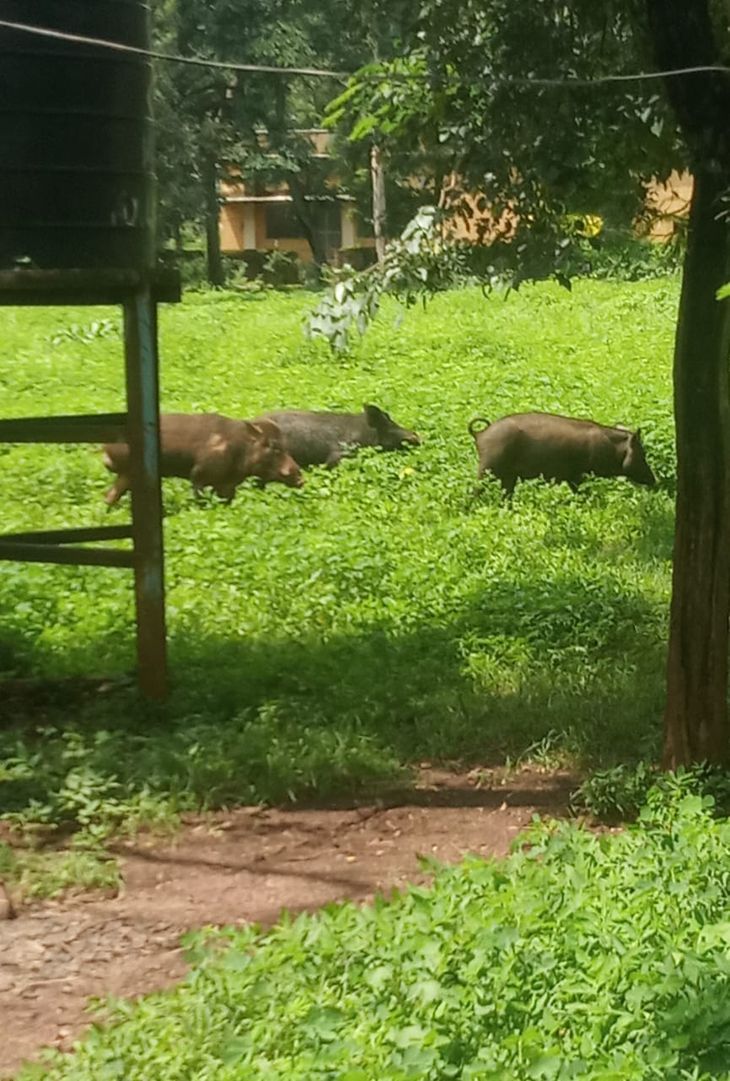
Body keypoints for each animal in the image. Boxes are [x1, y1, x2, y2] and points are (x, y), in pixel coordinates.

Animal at [102, 413, 303, 505]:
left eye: (285, 445)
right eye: (273, 446)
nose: (300, 477)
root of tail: (105, 451)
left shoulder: (226, 486)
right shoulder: (198, 477)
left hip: (126, 475)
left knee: (109, 497)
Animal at [469, 411, 656, 497]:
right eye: (642, 454)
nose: (654, 480)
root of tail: (480, 434)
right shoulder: (577, 474)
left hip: (508, 476)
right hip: (487, 468)